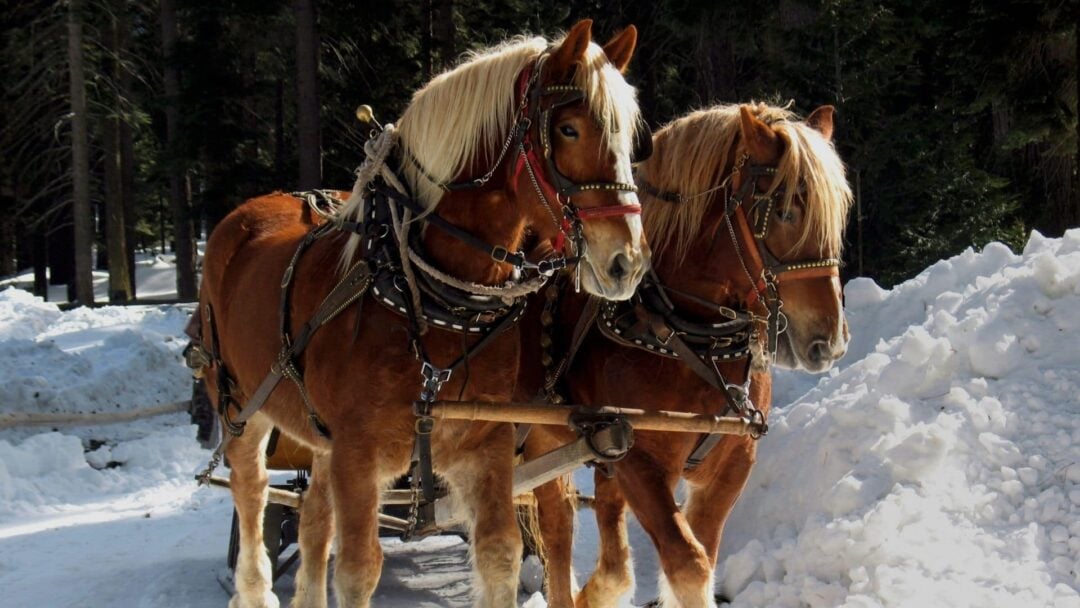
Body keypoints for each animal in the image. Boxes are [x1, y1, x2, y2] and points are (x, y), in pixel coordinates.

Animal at [196, 20, 649, 608]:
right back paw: (253, 581)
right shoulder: (358, 455)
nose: (626, 262)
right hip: (240, 407)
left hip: (317, 434)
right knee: (252, 496)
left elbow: (500, 553)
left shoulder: (485, 447)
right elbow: (358, 569)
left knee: (314, 519)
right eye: (569, 129)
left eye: (629, 138)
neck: (436, 302)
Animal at [522, 102, 853, 608]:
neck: (683, 338)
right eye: (783, 211)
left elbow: (701, 555)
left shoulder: (729, 465)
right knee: (558, 526)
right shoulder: (639, 461)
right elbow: (688, 565)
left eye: (837, 216)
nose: (828, 341)